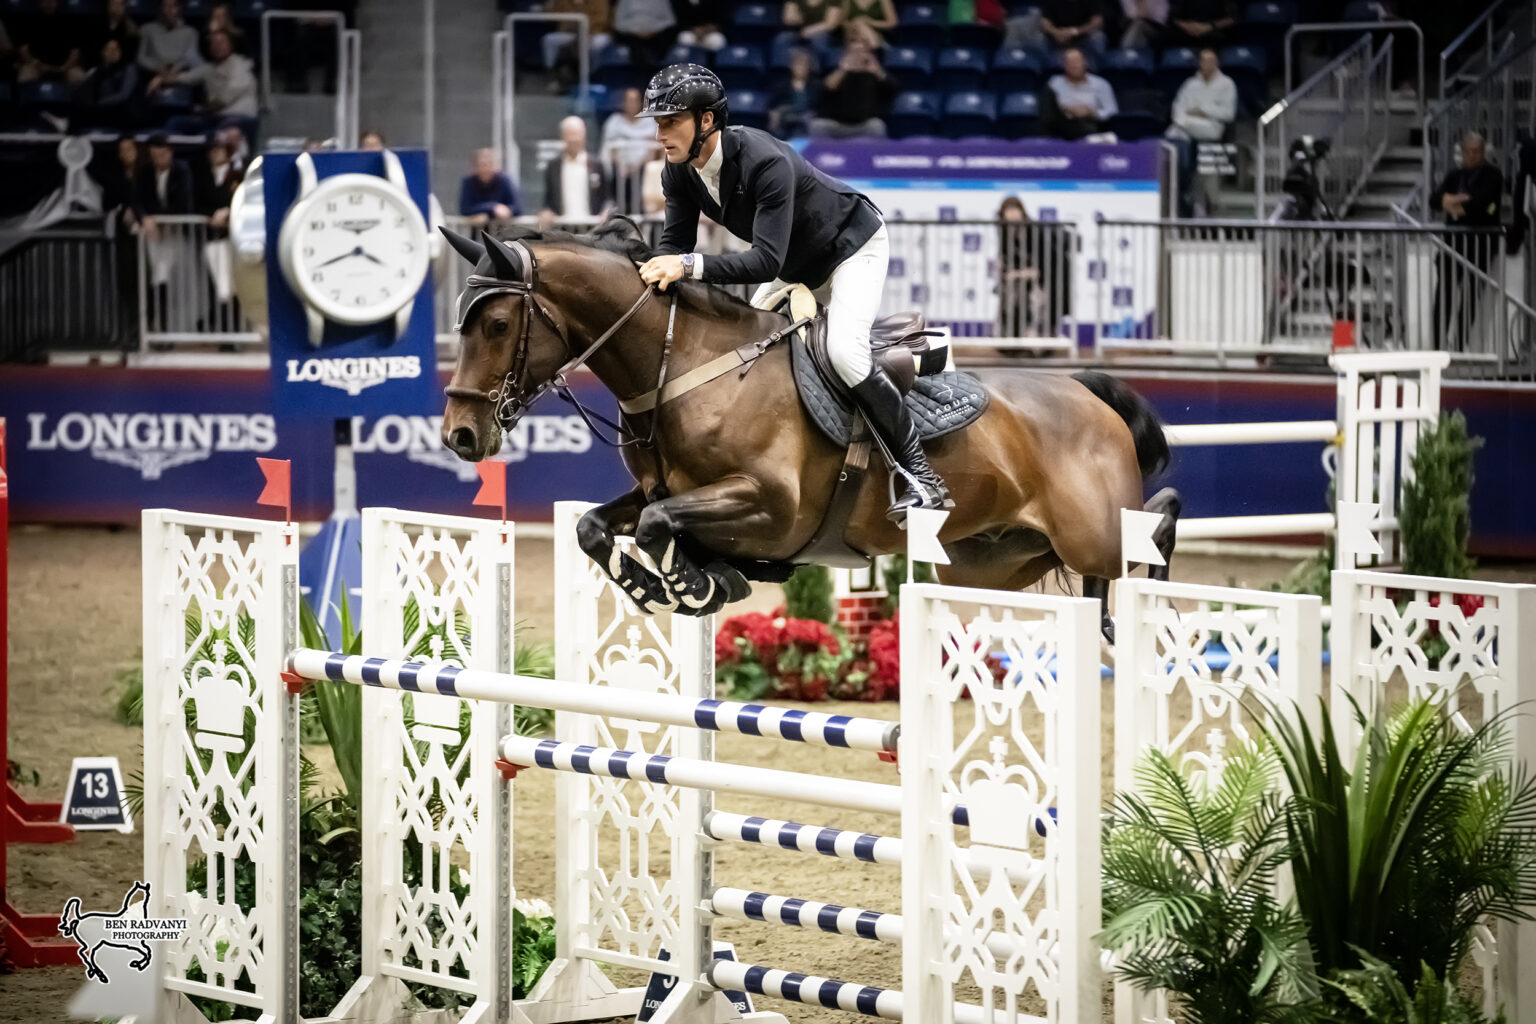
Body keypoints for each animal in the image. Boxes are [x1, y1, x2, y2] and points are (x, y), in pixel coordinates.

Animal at [438, 220, 1179, 637]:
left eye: (497, 324)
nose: (460, 436)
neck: (685, 367)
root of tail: (1083, 389)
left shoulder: (770, 503)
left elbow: (655, 526)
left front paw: (698, 583)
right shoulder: (661, 492)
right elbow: (599, 526)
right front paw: (675, 583)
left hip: (1090, 534)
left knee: (1152, 529)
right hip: (993, 559)